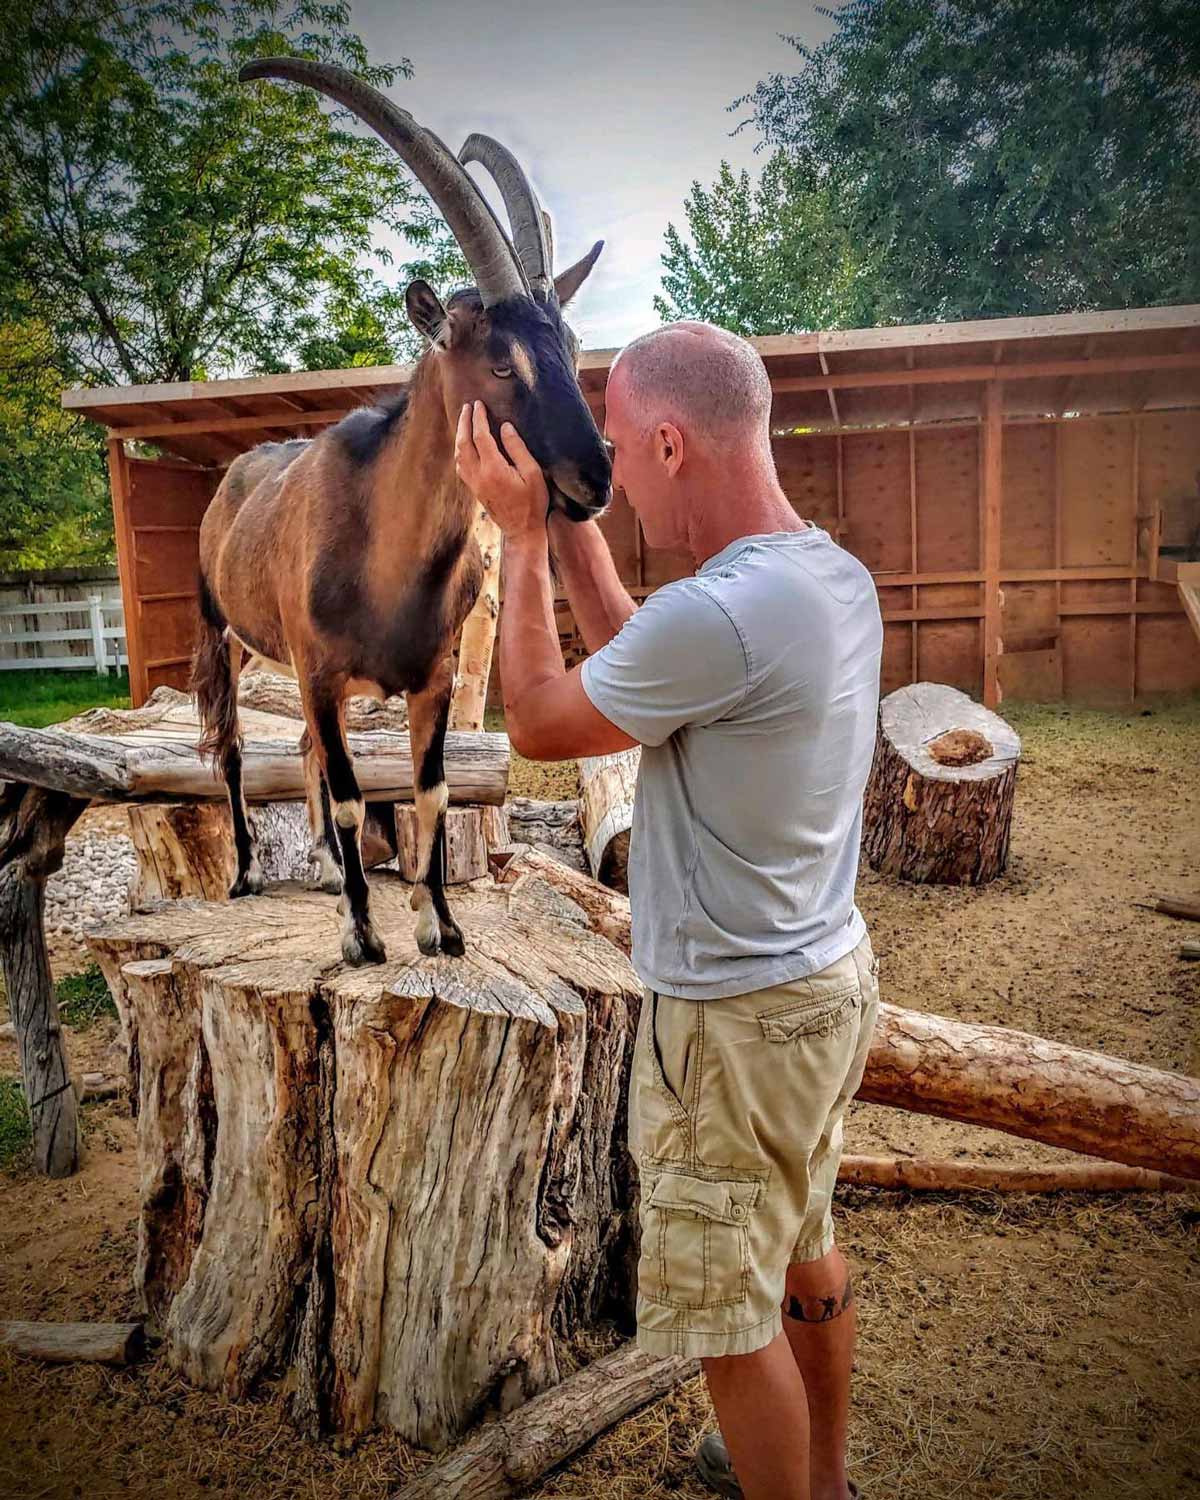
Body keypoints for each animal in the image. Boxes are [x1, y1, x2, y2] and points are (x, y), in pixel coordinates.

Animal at [192, 60, 611, 966]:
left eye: (570, 347)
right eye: (500, 362)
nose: (594, 477)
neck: (384, 554)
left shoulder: (432, 677)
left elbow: (431, 791)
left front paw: (439, 924)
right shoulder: (316, 669)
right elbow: (357, 797)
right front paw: (361, 936)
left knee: (307, 751)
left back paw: (320, 869)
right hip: (228, 636)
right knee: (236, 750)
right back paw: (248, 874)